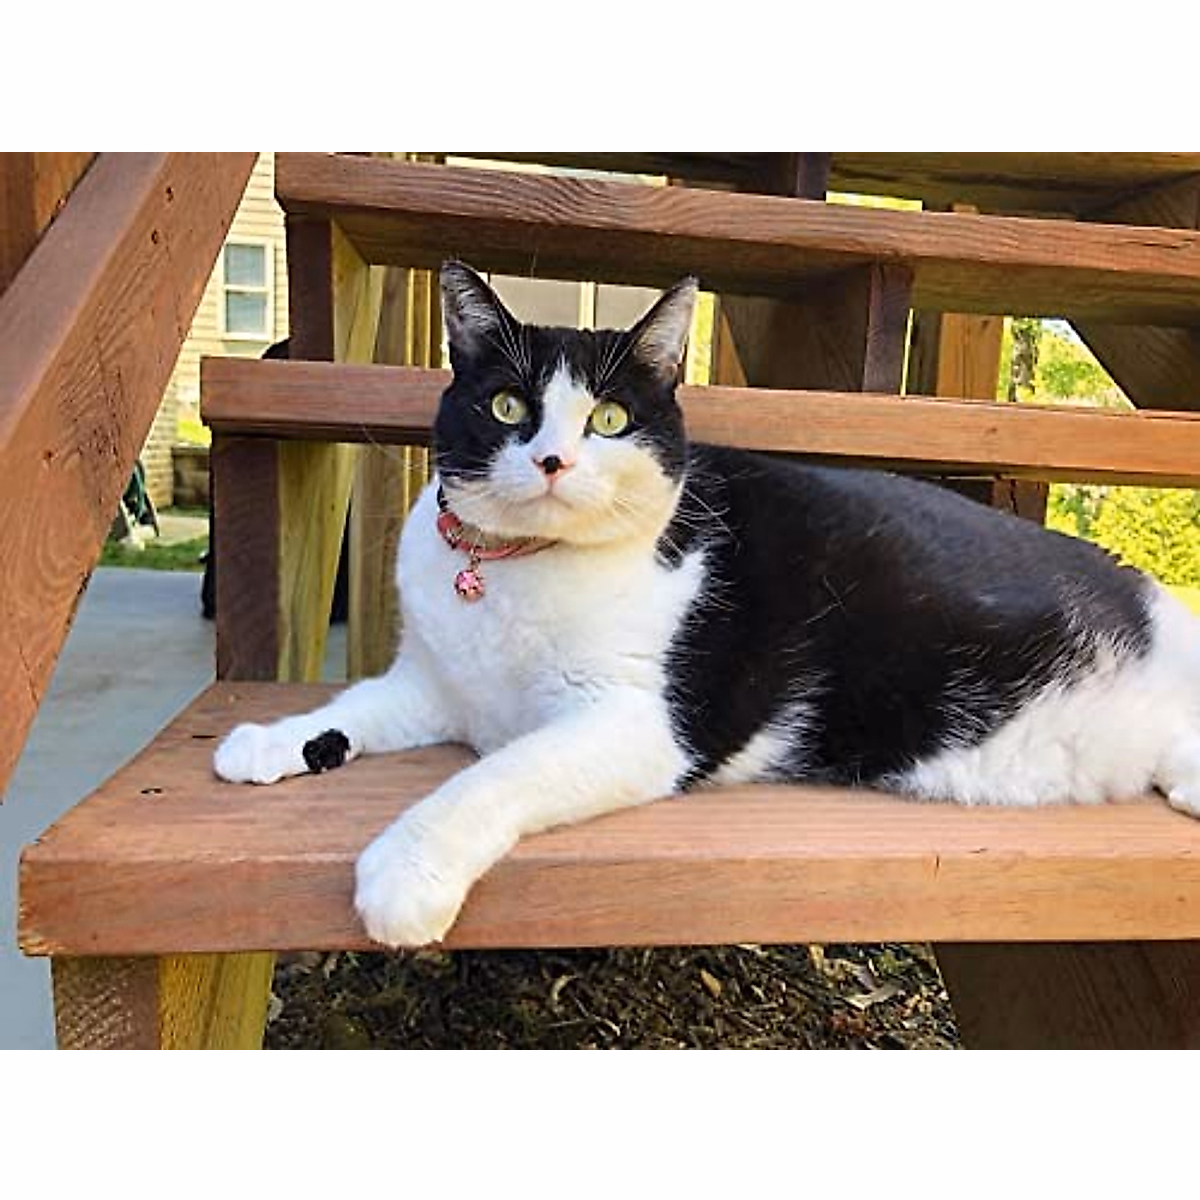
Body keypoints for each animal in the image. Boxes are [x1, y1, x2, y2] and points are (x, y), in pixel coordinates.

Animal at [214, 260, 1200, 948]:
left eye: (610, 420)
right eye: (506, 407)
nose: (552, 460)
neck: (509, 576)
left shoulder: (642, 726)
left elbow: (494, 775)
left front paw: (403, 873)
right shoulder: (433, 684)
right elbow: (354, 707)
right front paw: (268, 740)